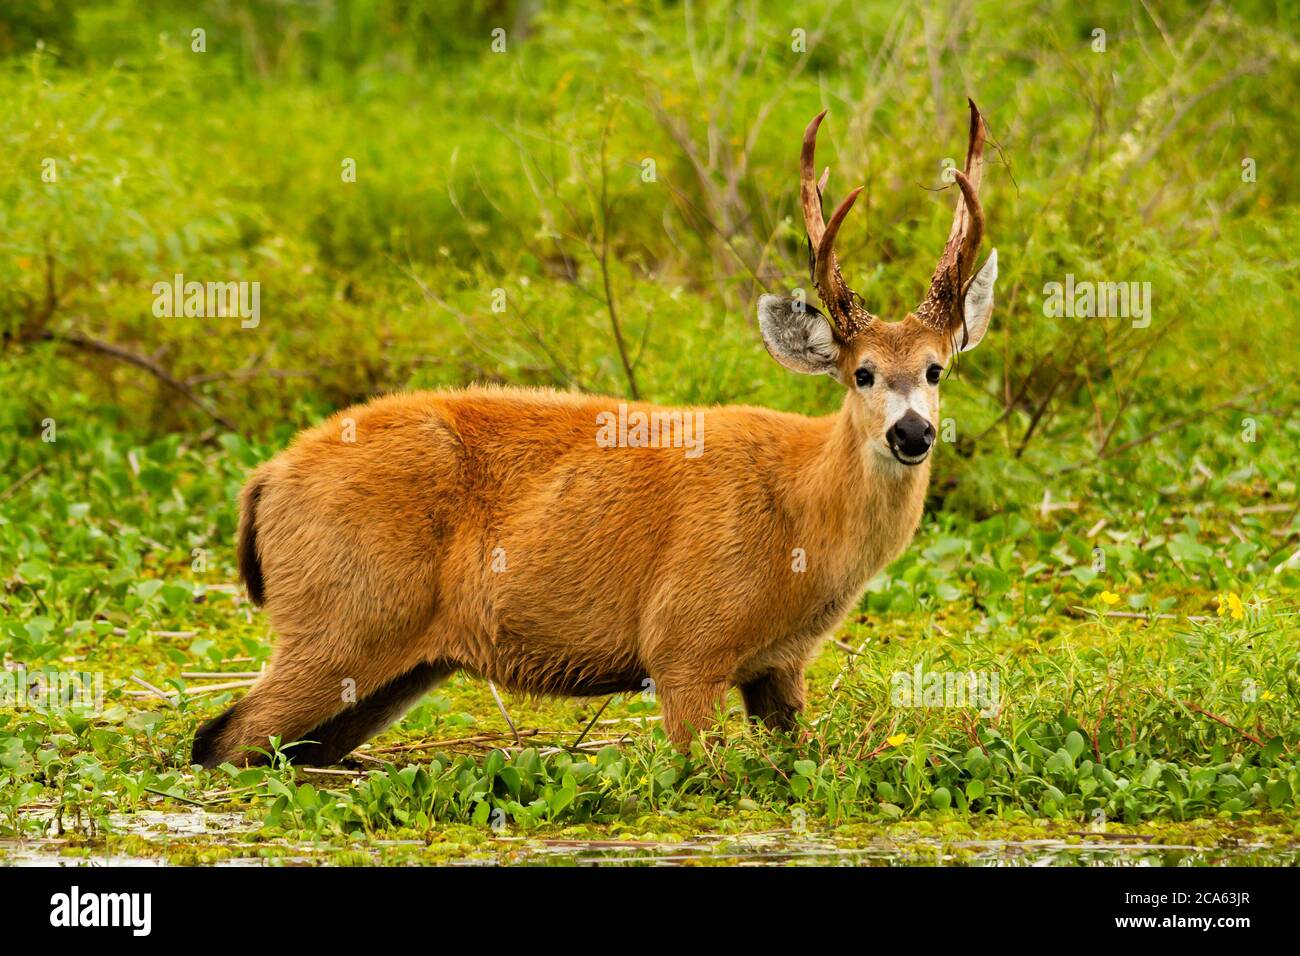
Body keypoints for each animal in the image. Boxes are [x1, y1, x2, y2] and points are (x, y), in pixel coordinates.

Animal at [192, 101, 998, 768]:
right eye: (862, 373)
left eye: (937, 367)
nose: (913, 433)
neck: (801, 517)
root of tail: (264, 481)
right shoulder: (684, 645)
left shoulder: (781, 669)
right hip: (340, 619)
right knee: (221, 739)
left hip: (393, 663)